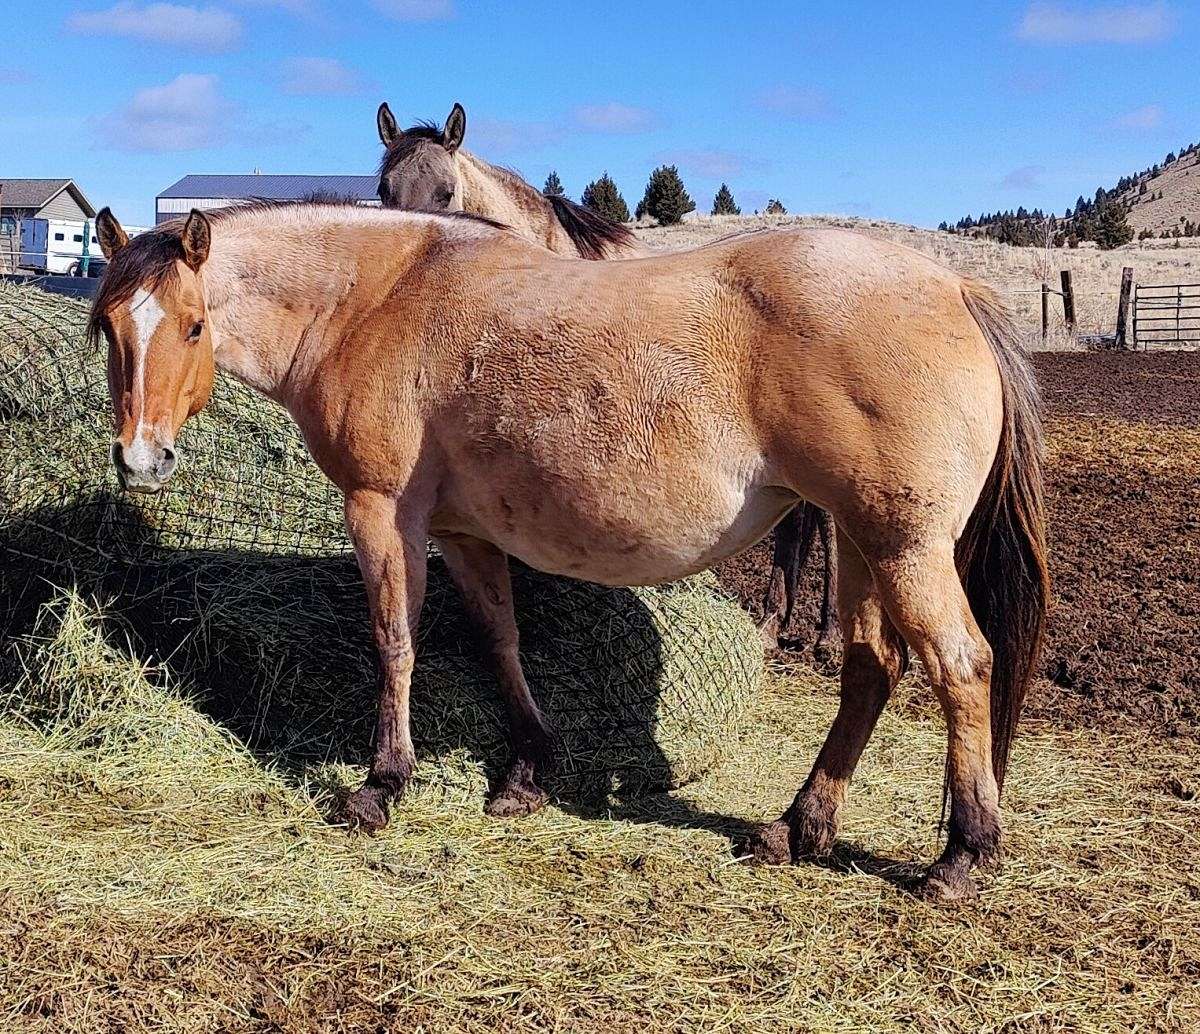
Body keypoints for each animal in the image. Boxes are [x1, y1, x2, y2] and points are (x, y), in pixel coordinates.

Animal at [91, 201, 1048, 901]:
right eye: (109, 328)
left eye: (192, 326)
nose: (141, 459)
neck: (379, 299)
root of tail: (956, 289)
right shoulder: (464, 534)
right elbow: (500, 642)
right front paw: (526, 771)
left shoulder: (382, 512)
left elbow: (395, 643)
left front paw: (383, 783)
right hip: (856, 540)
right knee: (870, 668)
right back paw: (796, 828)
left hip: (903, 547)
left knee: (961, 667)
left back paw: (961, 855)